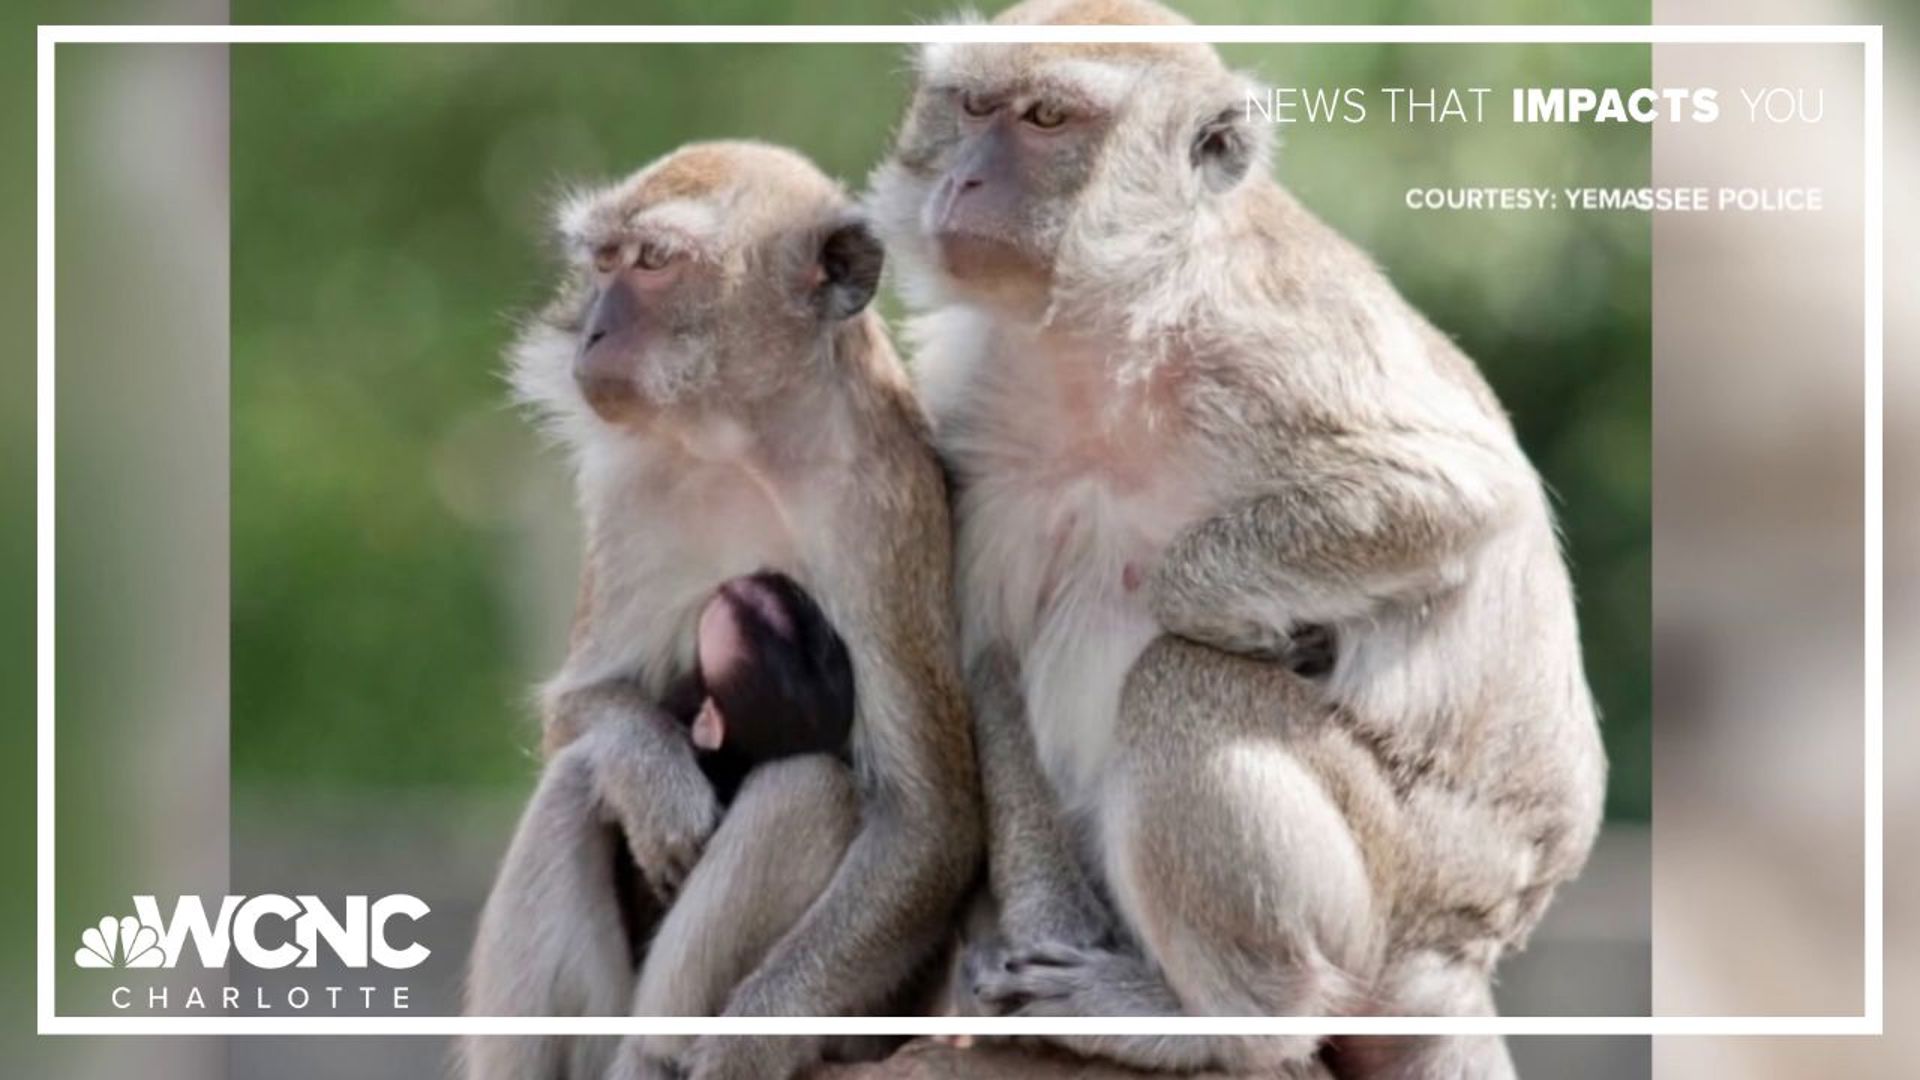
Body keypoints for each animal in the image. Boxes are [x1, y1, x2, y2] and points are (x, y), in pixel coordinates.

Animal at [463, 142, 981, 1080]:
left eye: (654, 262)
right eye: (604, 260)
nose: (591, 331)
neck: (748, 444)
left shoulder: (882, 510)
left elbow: (928, 823)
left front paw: (744, 1043)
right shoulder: (632, 492)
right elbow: (575, 714)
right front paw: (652, 773)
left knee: (808, 790)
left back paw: (658, 1053)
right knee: (573, 781)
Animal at [867, 1, 1607, 1076]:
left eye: (1047, 118)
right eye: (969, 107)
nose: (964, 179)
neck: (1105, 333)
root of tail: (1469, 948)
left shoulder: (1267, 341)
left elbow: (1461, 494)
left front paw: (1242, 618)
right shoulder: (973, 408)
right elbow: (988, 654)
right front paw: (1034, 934)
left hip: (1397, 888)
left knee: (1181, 682)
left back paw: (1230, 1020)